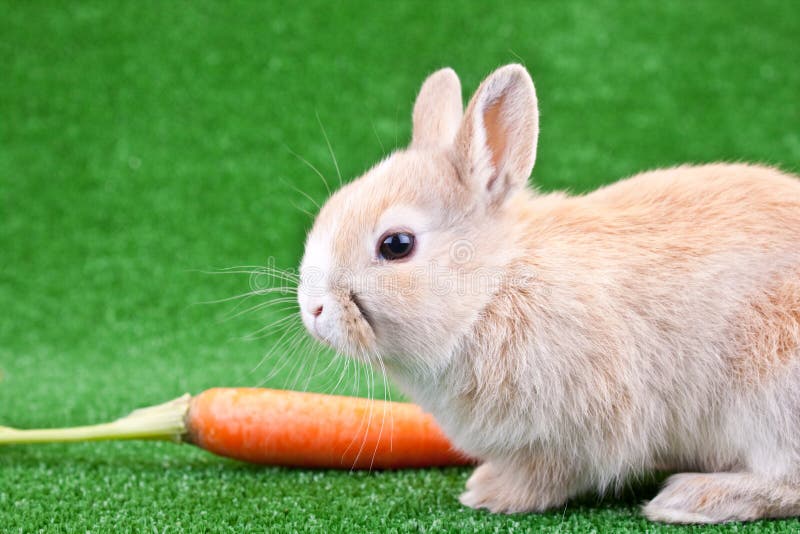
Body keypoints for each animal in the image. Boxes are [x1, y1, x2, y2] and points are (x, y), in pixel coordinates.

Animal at [296, 63, 800, 524]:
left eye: (396, 245)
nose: (313, 309)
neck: (493, 289)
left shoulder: (574, 430)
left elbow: (551, 474)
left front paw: (489, 494)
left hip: (770, 393)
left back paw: (691, 499)